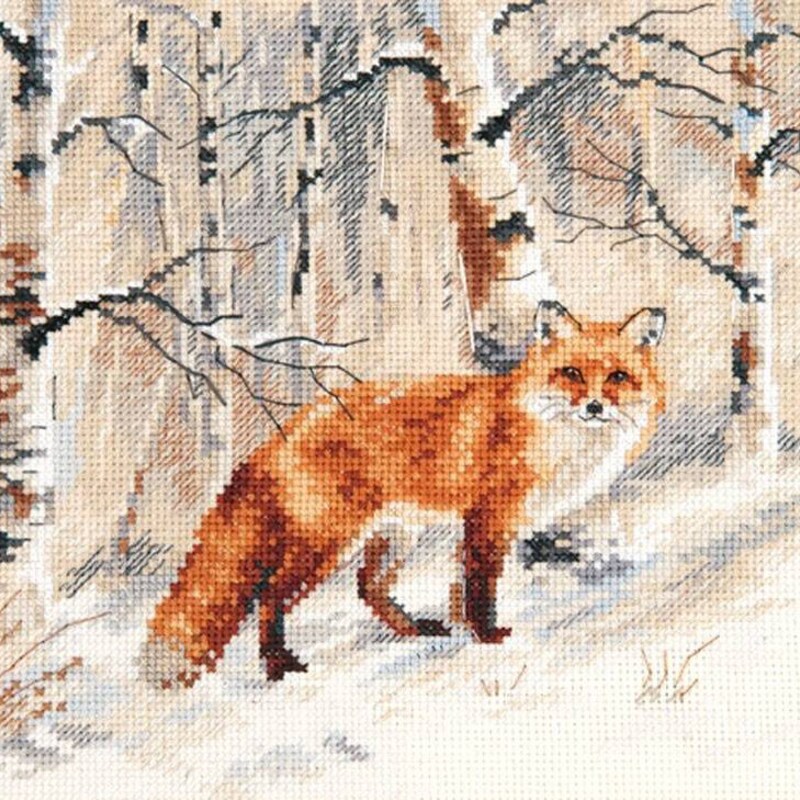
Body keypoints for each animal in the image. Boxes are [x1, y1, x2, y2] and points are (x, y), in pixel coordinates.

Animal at [144, 301, 666, 687]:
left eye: (618, 376)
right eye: (571, 372)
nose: (594, 406)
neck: (557, 441)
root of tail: (284, 431)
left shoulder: (483, 524)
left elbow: (459, 589)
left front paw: (465, 633)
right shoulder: (488, 517)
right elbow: (480, 587)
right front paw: (489, 637)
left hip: (395, 534)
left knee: (366, 587)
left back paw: (414, 629)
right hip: (327, 543)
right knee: (269, 597)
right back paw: (279, 666)